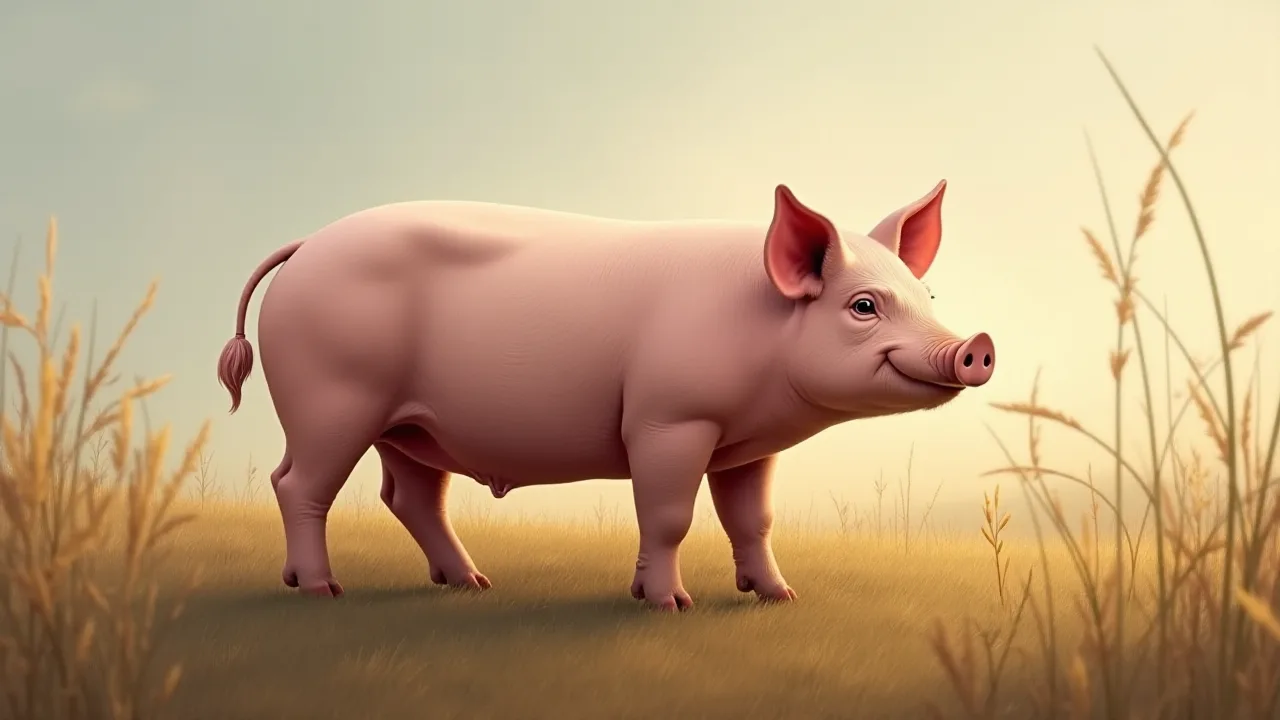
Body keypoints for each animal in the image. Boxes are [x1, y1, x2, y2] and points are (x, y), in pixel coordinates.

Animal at [216, 180, 995, 610]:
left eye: (925, 296)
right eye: (863, 306)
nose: (976, 345)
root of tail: (308, 244)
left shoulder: (747, 445)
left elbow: (753, 520)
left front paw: (779, 597)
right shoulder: (668, 418)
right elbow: (669, 515)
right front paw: (669, 604)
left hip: (406, 424)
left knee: (408, 497)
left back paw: (471, 583)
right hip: (334, 395)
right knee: (298, 484)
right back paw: (320, 589)